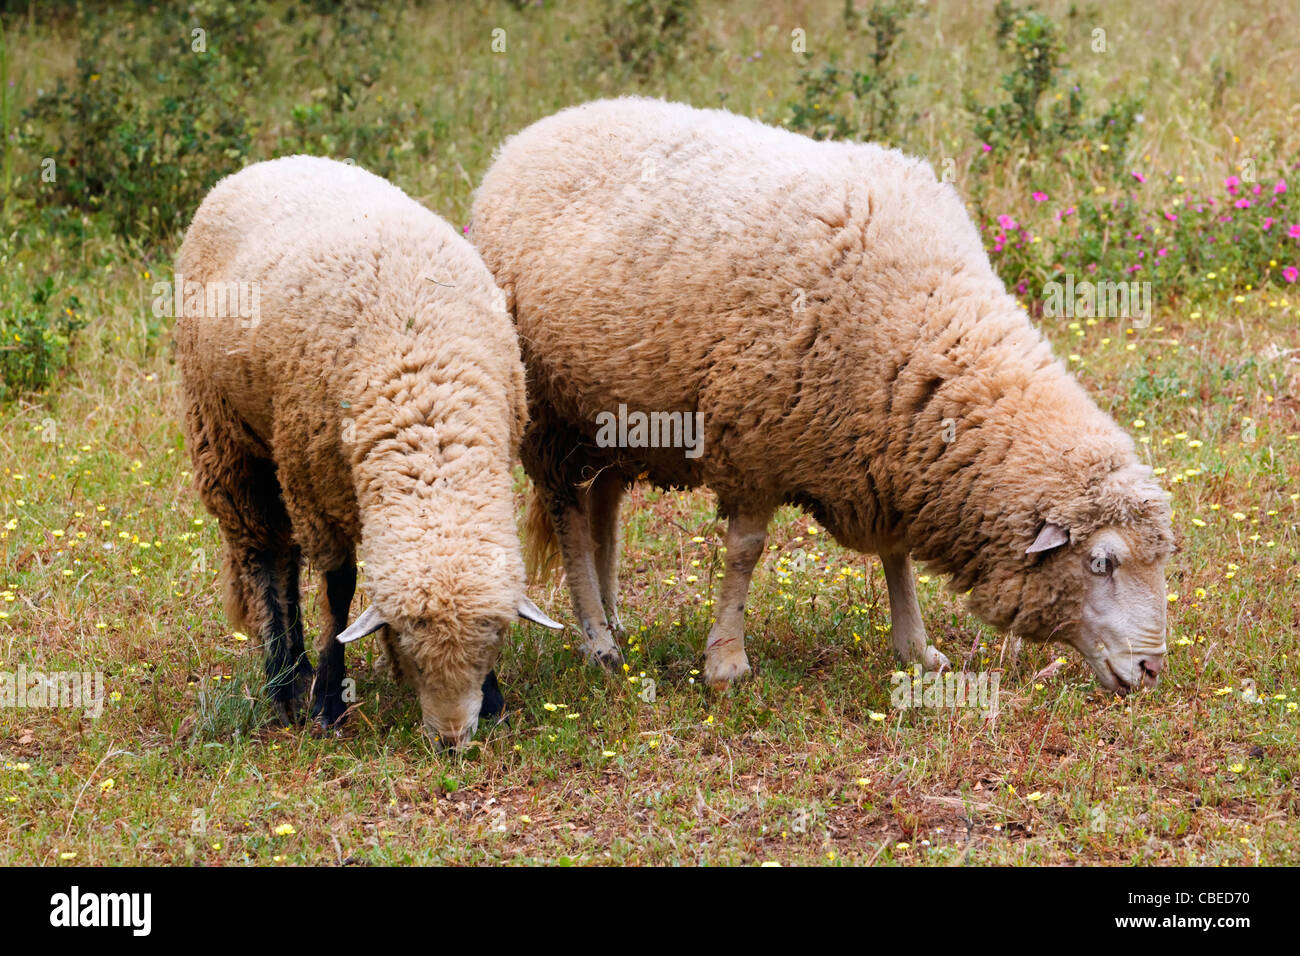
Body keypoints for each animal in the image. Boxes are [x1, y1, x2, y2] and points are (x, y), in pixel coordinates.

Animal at [175, 155, 560, 748]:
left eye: (491, 645)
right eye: (412, 650)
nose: (450, 741)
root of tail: (269, 163)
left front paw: (494, 700)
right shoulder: (313, 486)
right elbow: (339, 591)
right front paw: (328, 702)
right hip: (226, 436)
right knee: (267, 557)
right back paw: (286, 682)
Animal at [471, 97, 1174, 696]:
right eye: (1102, 562)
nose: (1151, 670)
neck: (922, 320)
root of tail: (534, 132)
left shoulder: (887, 449)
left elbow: (896, 554)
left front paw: (916, 648)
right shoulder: (751, 440)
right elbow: (745, 554)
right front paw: (726, 662)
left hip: (607, 412)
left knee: (605, 508)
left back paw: (615, 620)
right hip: (550, 417)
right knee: (569, 518)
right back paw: (597, 640)